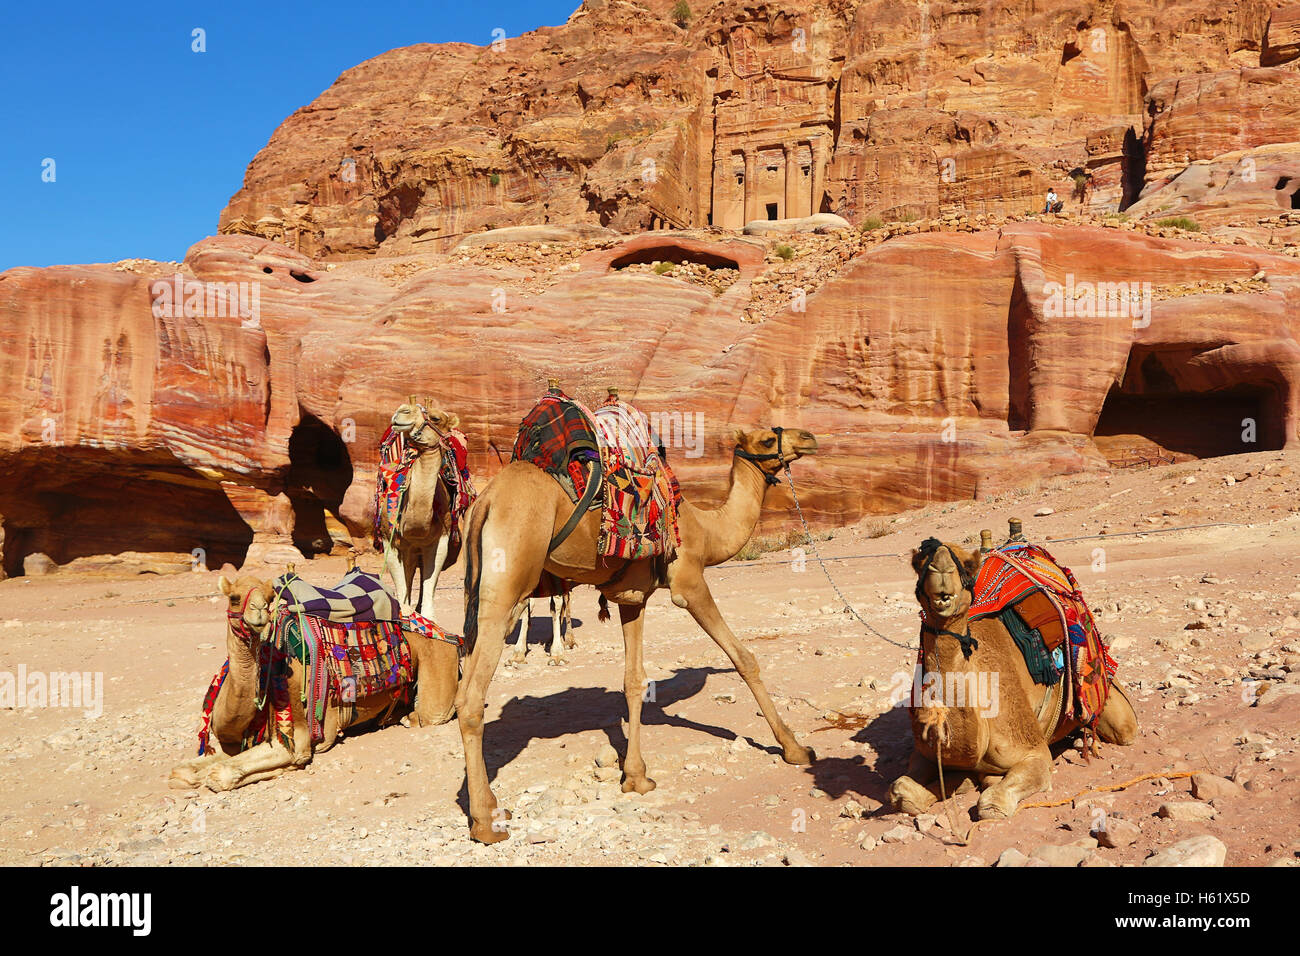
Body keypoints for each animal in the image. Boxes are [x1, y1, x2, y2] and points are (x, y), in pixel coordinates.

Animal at [169, 573, 459, 791]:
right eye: (234, 598)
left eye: (270, 598)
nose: (259, 612)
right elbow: (182, 772)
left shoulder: (296, 733)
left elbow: (221, 775)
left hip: (438, 667)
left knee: (433, 712)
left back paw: (409, 718)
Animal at [379, 400, 464, 616]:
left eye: (435, 418)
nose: (402, 411)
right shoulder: (388, 538)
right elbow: (401, 587)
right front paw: (405, 611)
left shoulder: (442, 538)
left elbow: (430, 583)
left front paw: (425, 615)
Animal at [456, 426, 818, 843]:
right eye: (765, 440)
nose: (808, 438)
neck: (705, 530)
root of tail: (487, 500)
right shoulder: (688, 583)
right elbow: (744, 658)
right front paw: (795, 748)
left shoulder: (632, 598)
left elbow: (633, 681)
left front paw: (636, 777)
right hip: (508, 580)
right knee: (472, 699)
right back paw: (486, 822)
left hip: (478, 587)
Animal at [887, 541, 1138, 821]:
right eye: (920, 561)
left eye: (968, 566)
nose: (940, 567)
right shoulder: (924, 752)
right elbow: (902, 789)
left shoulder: (1034, 751)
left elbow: (991, 803)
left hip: (1110, 706)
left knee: (1124, 728)